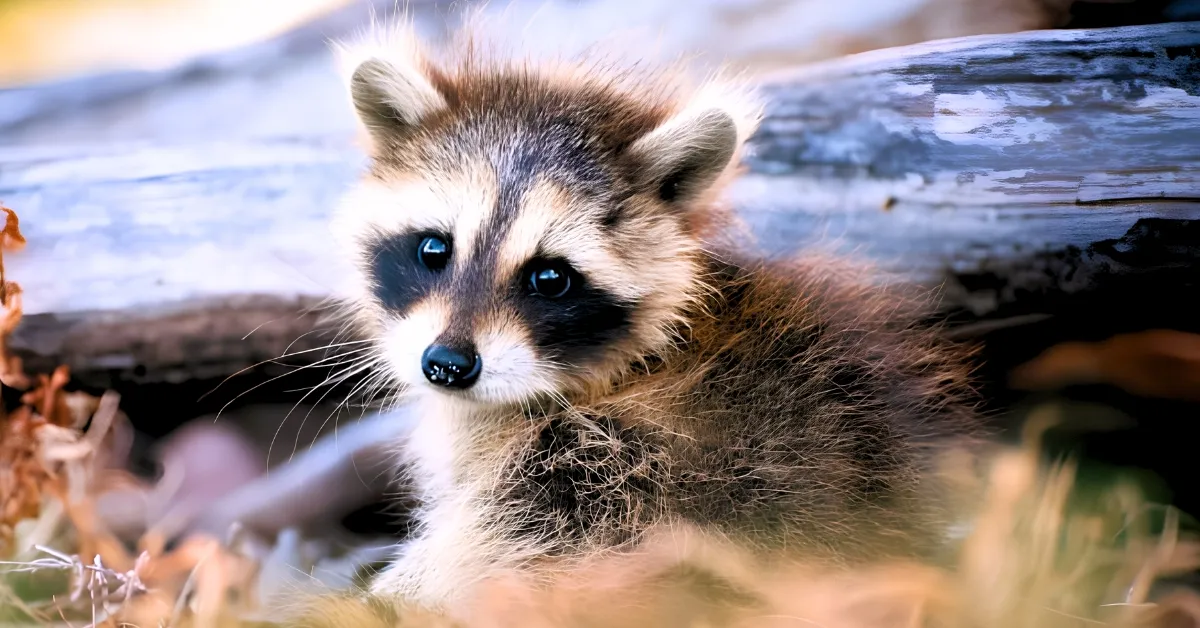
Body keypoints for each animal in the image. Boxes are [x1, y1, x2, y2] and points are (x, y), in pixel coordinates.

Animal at [328, 23, 987, 610]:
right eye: (433, 249)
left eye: (550, 277)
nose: (446, 365)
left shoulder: (633, 460)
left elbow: (529, 526)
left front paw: (406, 587)